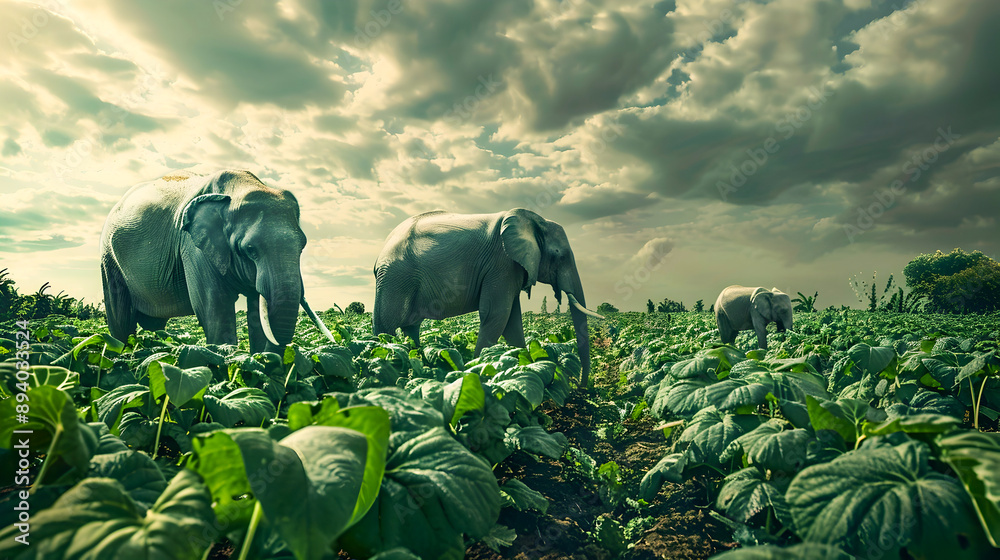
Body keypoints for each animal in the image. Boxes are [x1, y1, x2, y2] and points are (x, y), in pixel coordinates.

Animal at [100, 169, 335, 354]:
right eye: (250, 250)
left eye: (302, 246)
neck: (237, 190)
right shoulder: (192, 246)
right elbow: (214, 306)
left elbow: (257, 312)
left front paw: (260, 359)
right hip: (108, 259)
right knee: (120, 321)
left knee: (153, 324)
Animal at [372, 208, 604, 385]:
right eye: (560, 256)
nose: (582, 387)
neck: (535, 220)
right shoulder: (502, 263)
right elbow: (496, 315)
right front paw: (476, 372)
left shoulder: (511, 268)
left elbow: (512, 322)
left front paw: (525, 366)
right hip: (395, 278)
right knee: (386, 327)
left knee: (410, 327)